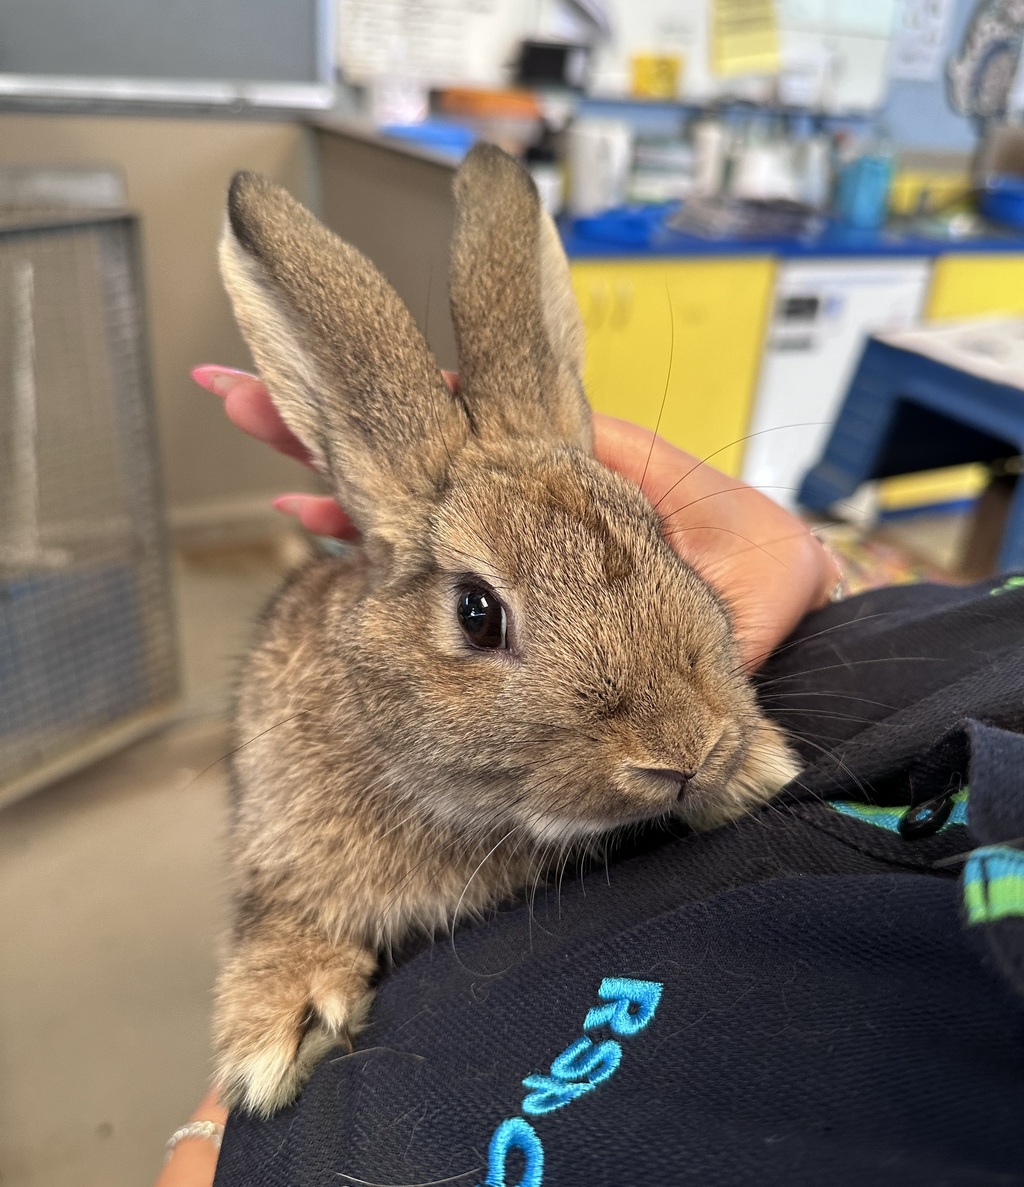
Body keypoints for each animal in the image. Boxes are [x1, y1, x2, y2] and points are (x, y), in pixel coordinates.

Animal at [213, 142, 800, 1117]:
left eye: (660, 535)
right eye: (477, 614)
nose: (686, 750)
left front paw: (755, 765)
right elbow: (280, 916)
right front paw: (274, 1029)